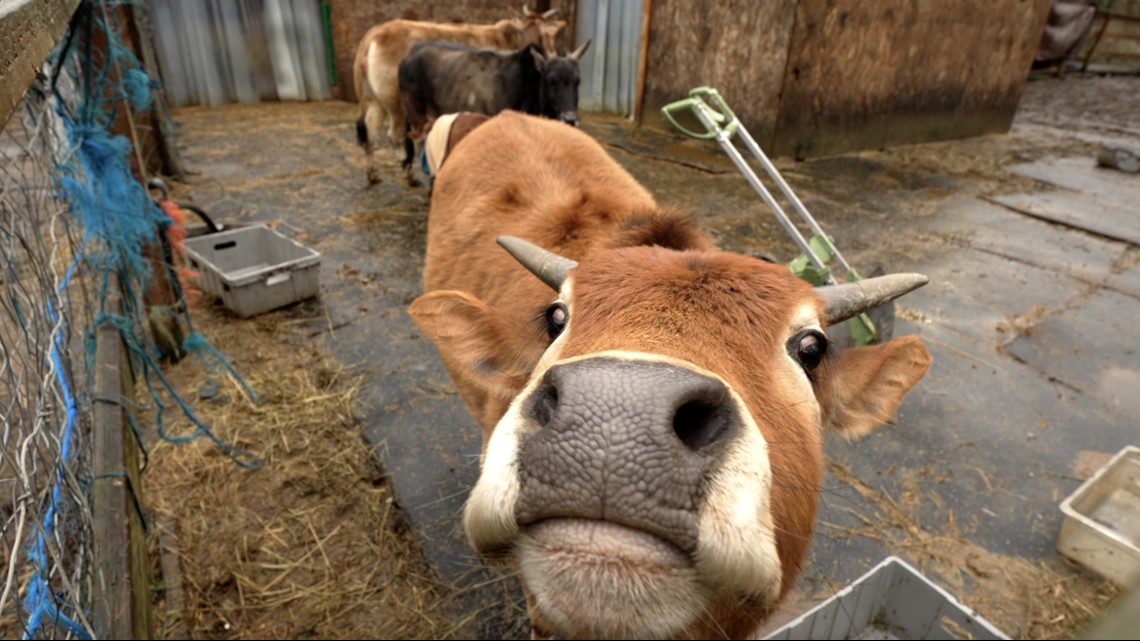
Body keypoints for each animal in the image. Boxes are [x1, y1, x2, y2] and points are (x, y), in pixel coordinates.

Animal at [352, 6, 566, 185]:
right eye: (549, 34)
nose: (552, 53)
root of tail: (375, 33)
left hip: (374, 101)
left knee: (370, 131)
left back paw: (373, 175)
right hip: (396, 102)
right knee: (396, 135)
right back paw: (410, 175)